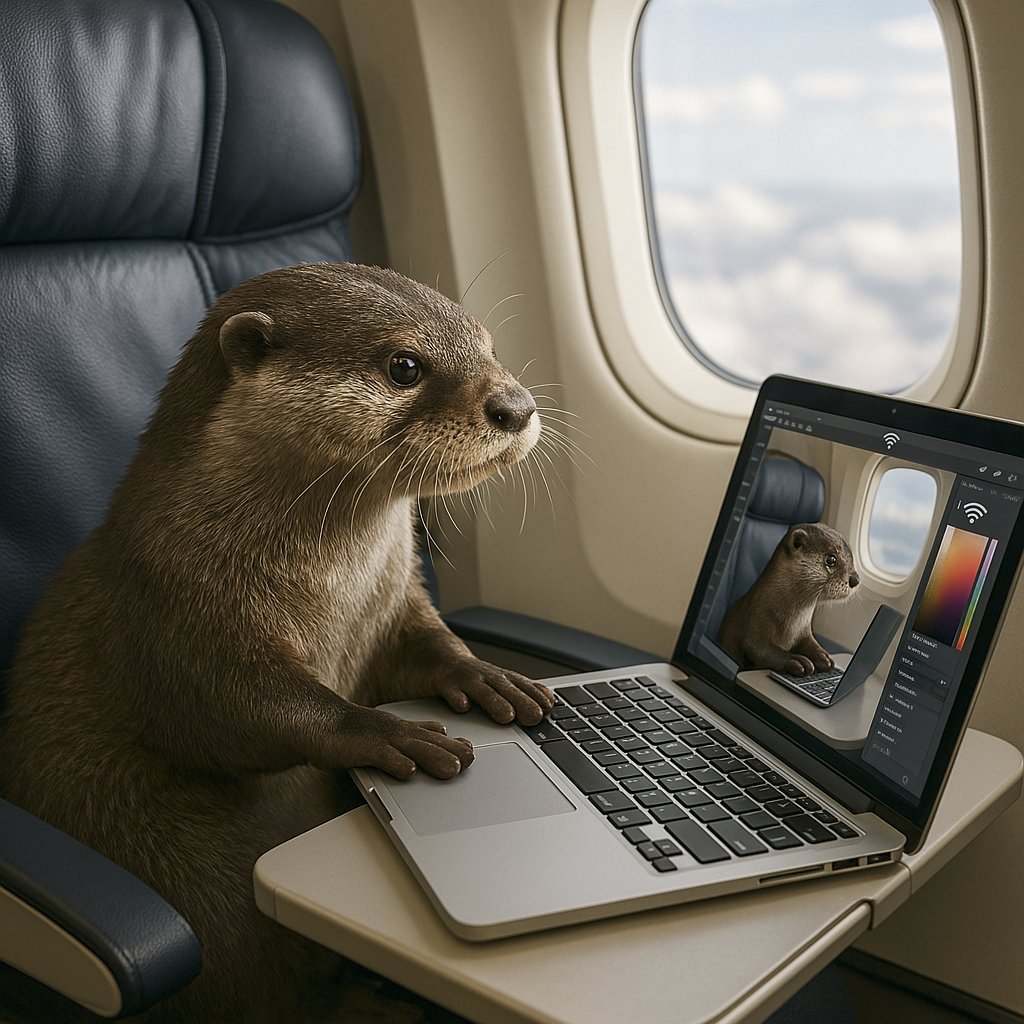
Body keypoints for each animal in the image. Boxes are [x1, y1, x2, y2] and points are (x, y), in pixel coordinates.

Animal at [0, 263, 555, 1024]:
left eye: (490, 345)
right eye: (404, 366)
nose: (515, 404)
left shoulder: (395, 601)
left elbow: (425, 648)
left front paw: (487, 676)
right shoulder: (174, 601)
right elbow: (228, 711)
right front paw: (393, 734)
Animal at [717, 522, 859, 675]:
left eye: (851, 558)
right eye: (831, 559)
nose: (855, 579)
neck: (789, 626)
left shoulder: (805, 631)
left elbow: (811, 643)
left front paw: (824, 657)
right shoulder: (754, 622)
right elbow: (760, 648)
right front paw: (797, 660)